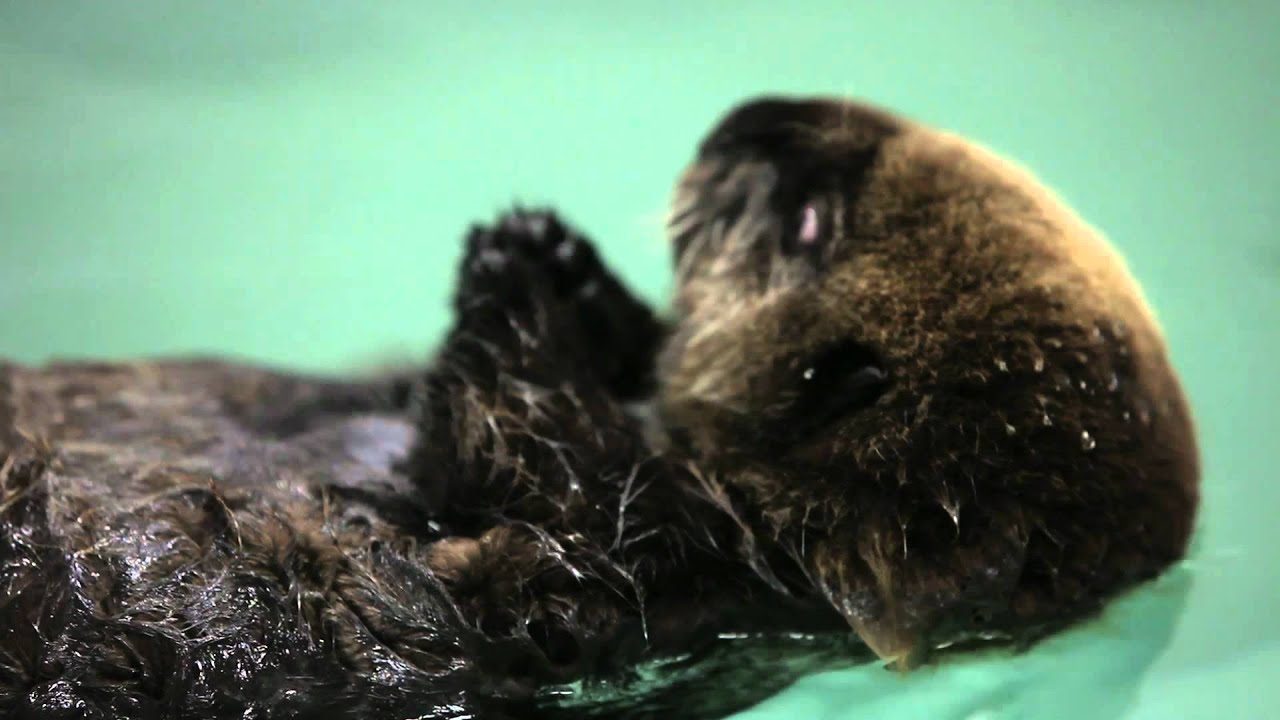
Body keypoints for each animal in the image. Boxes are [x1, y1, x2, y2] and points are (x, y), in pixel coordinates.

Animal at [0, 96, 1199, 719]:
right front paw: (578, 272)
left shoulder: (665, 579)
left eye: (810, 221)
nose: (746, 117)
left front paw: (519, 270)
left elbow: (533, 512)